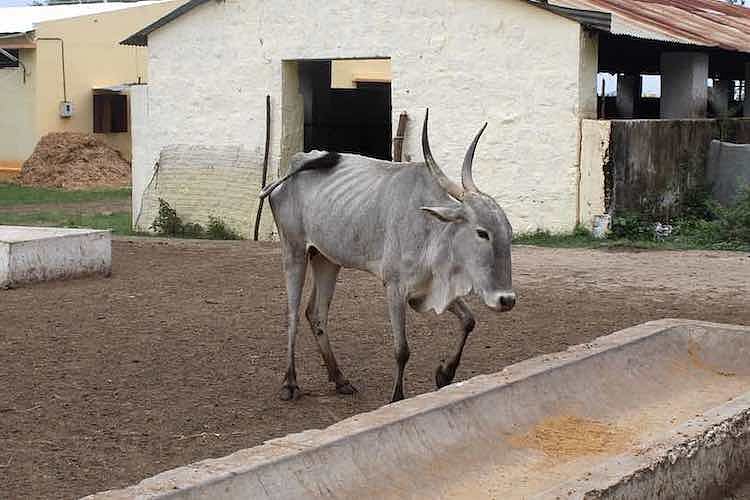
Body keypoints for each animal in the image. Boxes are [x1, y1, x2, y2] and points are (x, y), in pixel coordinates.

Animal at [259, 110, 515, 403]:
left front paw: (444, 374)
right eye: (482, 233)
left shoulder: (425, 290)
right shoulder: (394, 288)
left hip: (327, 259)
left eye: (508, 232)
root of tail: (294, 164)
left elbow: (469, 321)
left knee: (316, 313)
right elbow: (402, 349)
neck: (430, 227)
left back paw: (340, 378)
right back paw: (290, 382)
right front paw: (397, 398)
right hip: (294, 252)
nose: (506, 300)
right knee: (292, 314)